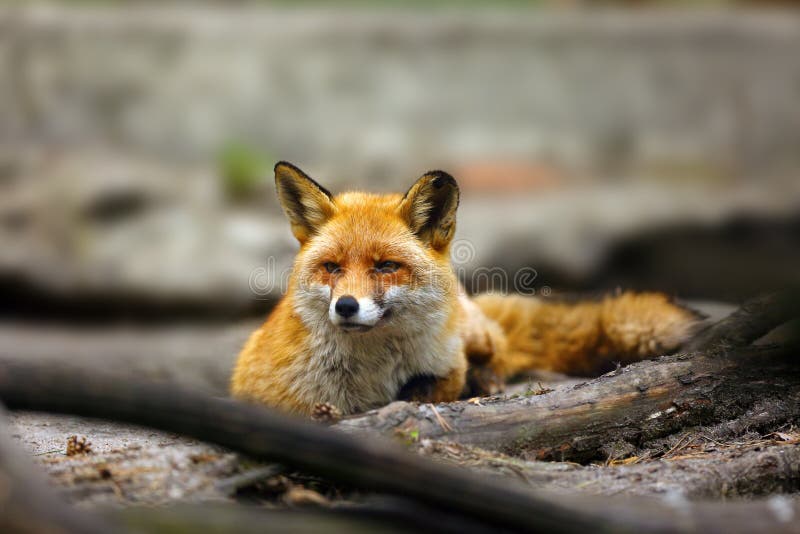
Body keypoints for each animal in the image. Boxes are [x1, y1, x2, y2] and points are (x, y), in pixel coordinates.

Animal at [230, 162, 700, 416]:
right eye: (331, 267)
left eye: (386, 266)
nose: (346, 306)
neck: (370, 377)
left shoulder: (446, 364)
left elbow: (435, 388)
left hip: (473, 331)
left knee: (500, 349)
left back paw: (487, 378)